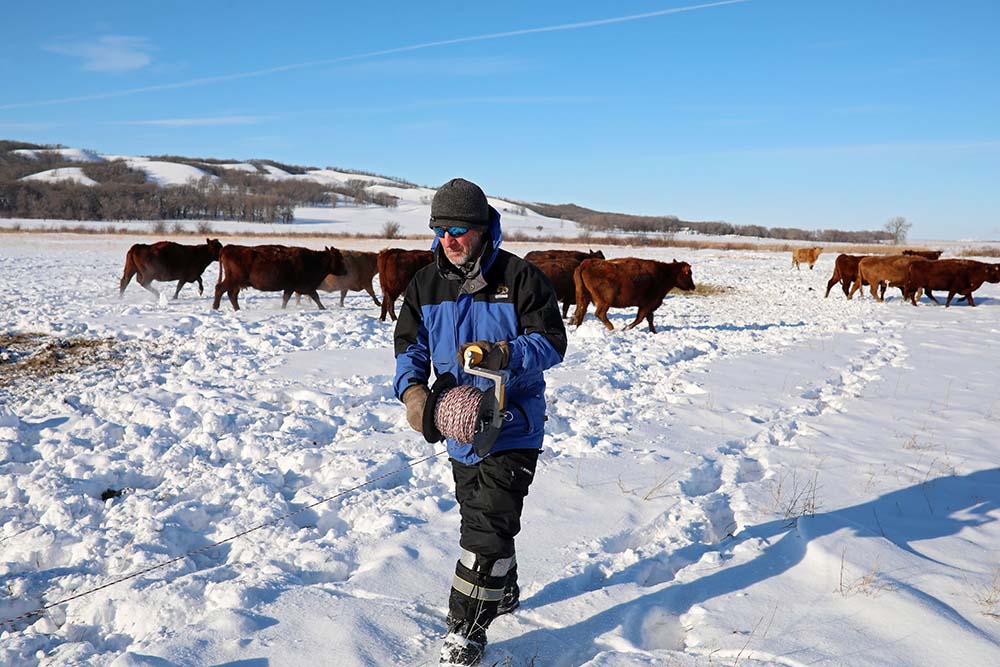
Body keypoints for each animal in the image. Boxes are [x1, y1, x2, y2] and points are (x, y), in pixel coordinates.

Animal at [212, 244, 347, 311]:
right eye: (339, 258)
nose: (346, 271)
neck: (313, 260)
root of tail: (228, 247)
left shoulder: (291, 287)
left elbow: (285, 299)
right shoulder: (303, 286)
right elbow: (316, 296)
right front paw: (323, 308)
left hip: (237, 282)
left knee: (232, 294)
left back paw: (237, 309)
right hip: (233, 279)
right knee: (220, 289)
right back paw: (215, 307)